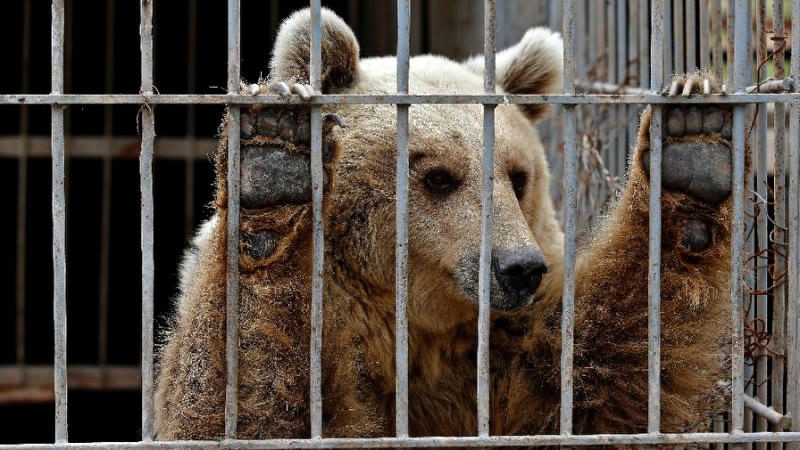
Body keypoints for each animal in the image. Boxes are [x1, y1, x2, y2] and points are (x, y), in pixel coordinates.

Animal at [155, 7, 739, 440]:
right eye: (438, 176)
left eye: (518, 176)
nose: (519, 268)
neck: (415, 325)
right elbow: (251, 389)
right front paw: (275, 161)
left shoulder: (504, 358)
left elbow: (603, 371)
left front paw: (691, 145)